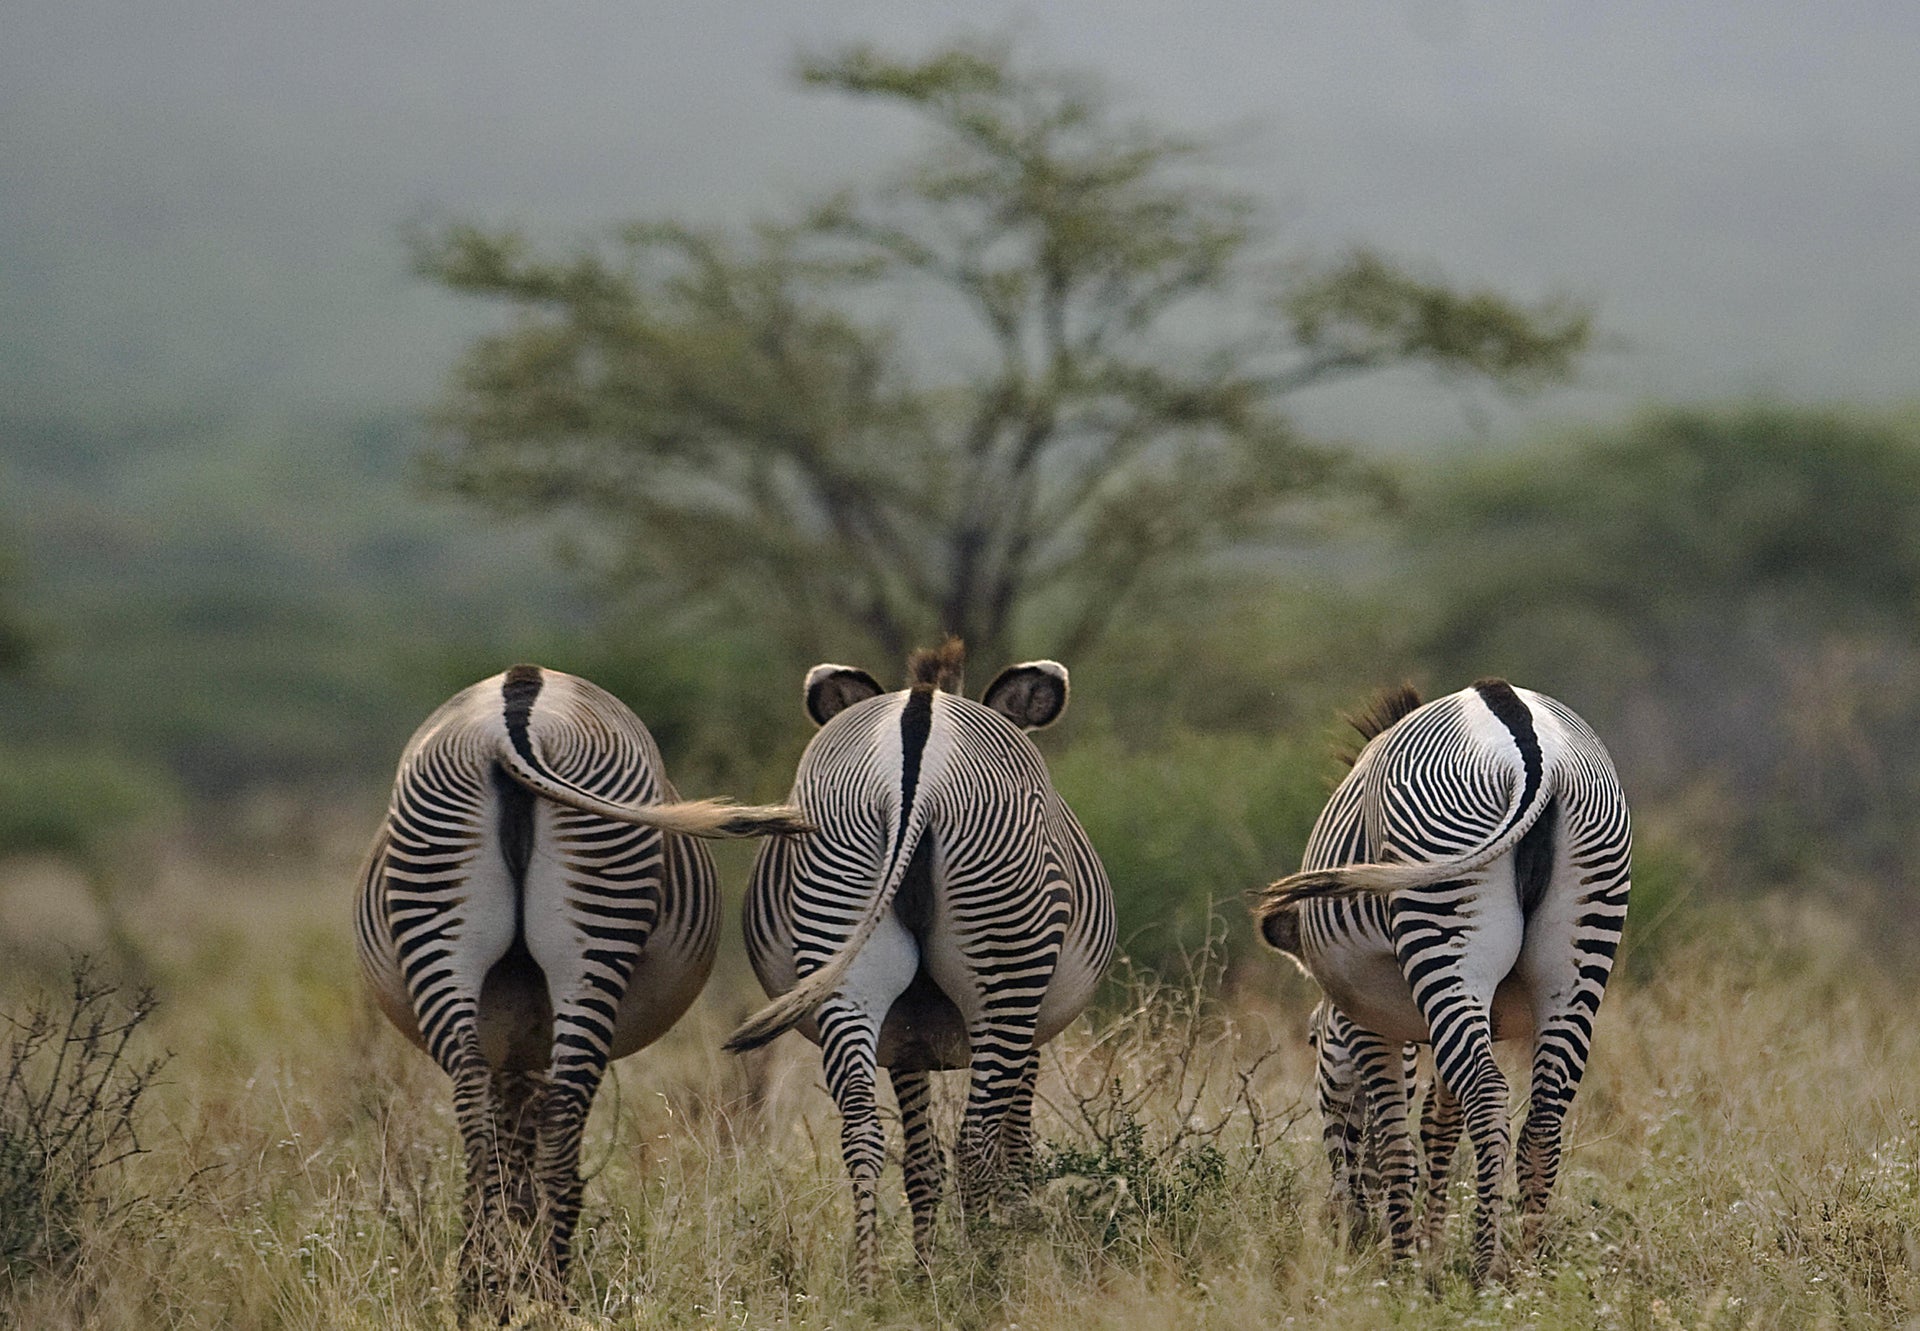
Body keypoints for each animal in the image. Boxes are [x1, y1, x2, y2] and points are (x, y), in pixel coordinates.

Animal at [355, 664, 809, 1302]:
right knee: (532, 1120)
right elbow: (520, 1131)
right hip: (545, 924)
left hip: (487, 924)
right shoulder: (524, 1041)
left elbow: (514, 1134)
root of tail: (513, 714)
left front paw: (507, 1255)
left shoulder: (517, 1041)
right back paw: (525, 1285)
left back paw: (499, 1286)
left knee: (500, 1121)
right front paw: (514, 1258)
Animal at [724, 641, 1116, 1293]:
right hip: (1007, 969)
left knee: (863, 1131)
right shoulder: (1032, 1035)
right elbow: (1013, 1147)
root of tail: (918, 733)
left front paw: (923, 1271)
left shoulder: (906, 1039)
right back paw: (985, 1272)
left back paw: (867, 1285)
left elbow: (920, 1163)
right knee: (976, 1141)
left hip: (842, 939)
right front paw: (1005, 1235)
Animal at [1252, 679, 1631, 1282]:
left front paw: (1403, 1265)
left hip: (1443, 924)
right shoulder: (1476, 1012)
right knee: (1544, 1115)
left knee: (1490, 1095)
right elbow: (1437, 1121)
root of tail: (1536, 758)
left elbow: (1395, 1140)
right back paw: (1529, 1267)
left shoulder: (1368, 1019)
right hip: (1582, 943)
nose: (1342, 1228)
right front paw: (1429, 1253)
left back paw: (1484, 1270)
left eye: (1312, 1041)